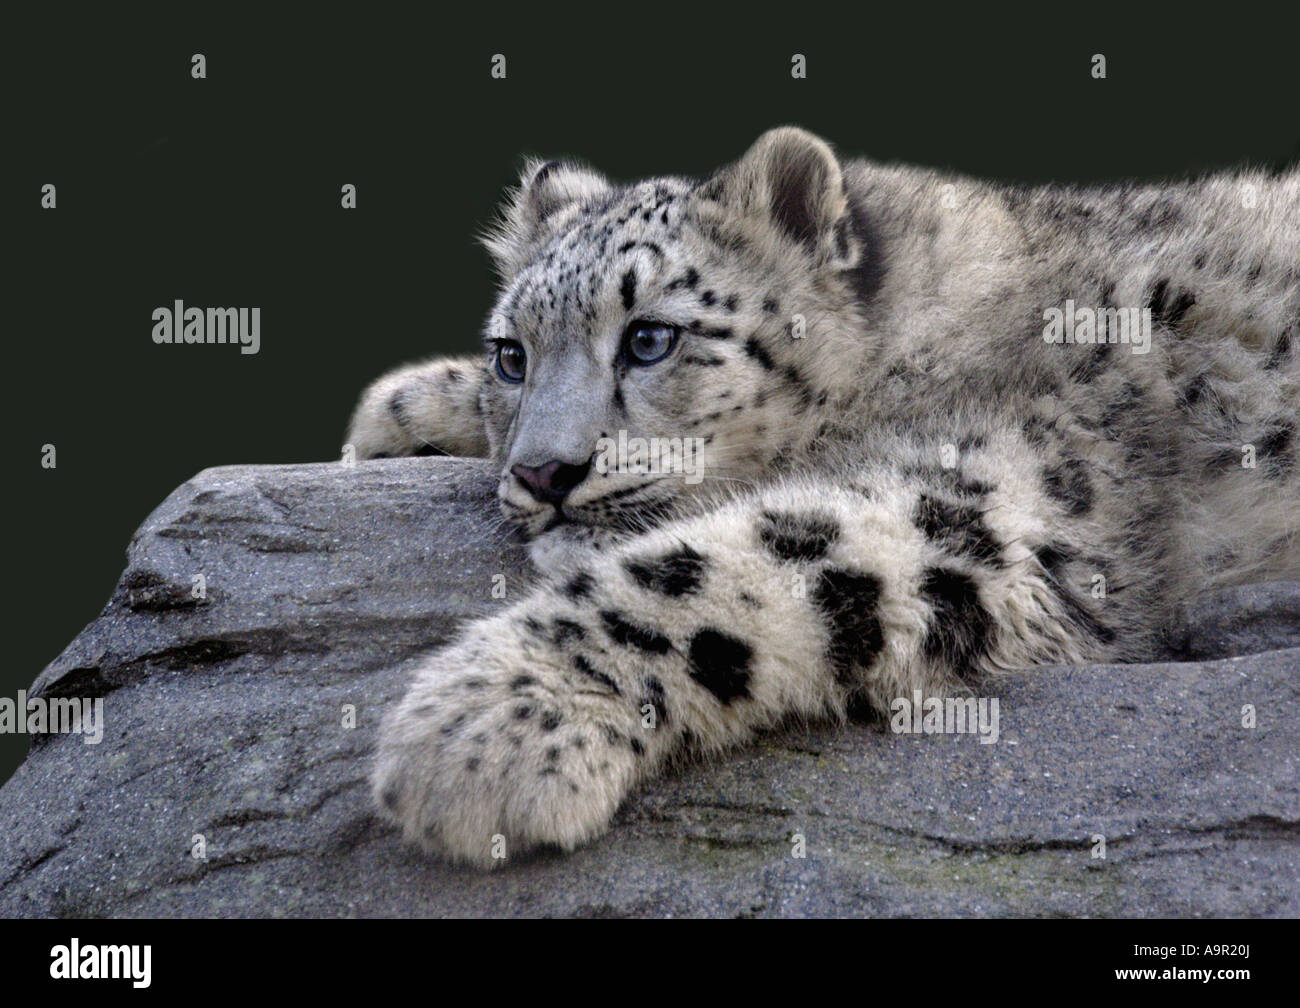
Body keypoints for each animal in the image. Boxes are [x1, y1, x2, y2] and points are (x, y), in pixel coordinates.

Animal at [347, 127, 1299, 868]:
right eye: (511, 355)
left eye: (651, 337)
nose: (544, 472)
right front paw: (400, 412)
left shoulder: (999, 491)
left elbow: (725, 565)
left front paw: (475, 730)